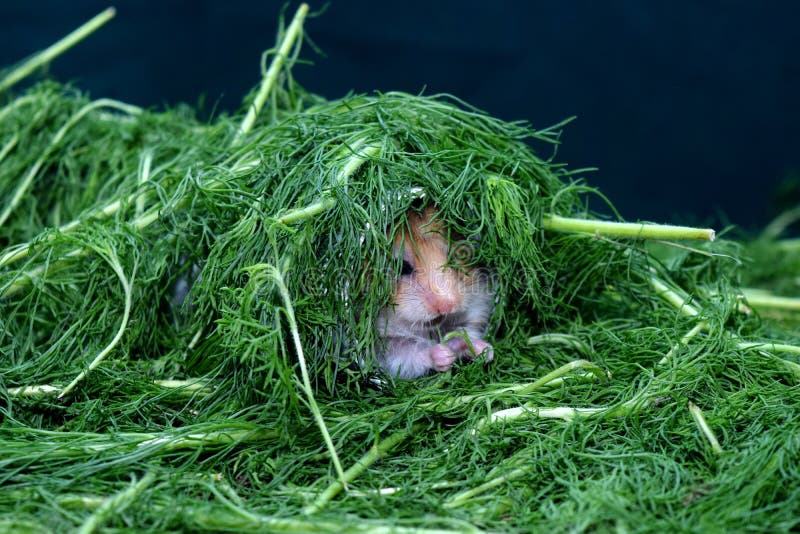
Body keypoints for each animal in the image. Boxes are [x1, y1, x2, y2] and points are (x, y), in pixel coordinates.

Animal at [375, 205, 494, 379]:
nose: (449, 306)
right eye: (402, 267)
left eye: (454, 255)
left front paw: (487, 351)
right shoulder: (381, 348)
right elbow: (408, 354)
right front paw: (444, 355)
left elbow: (461, 334)